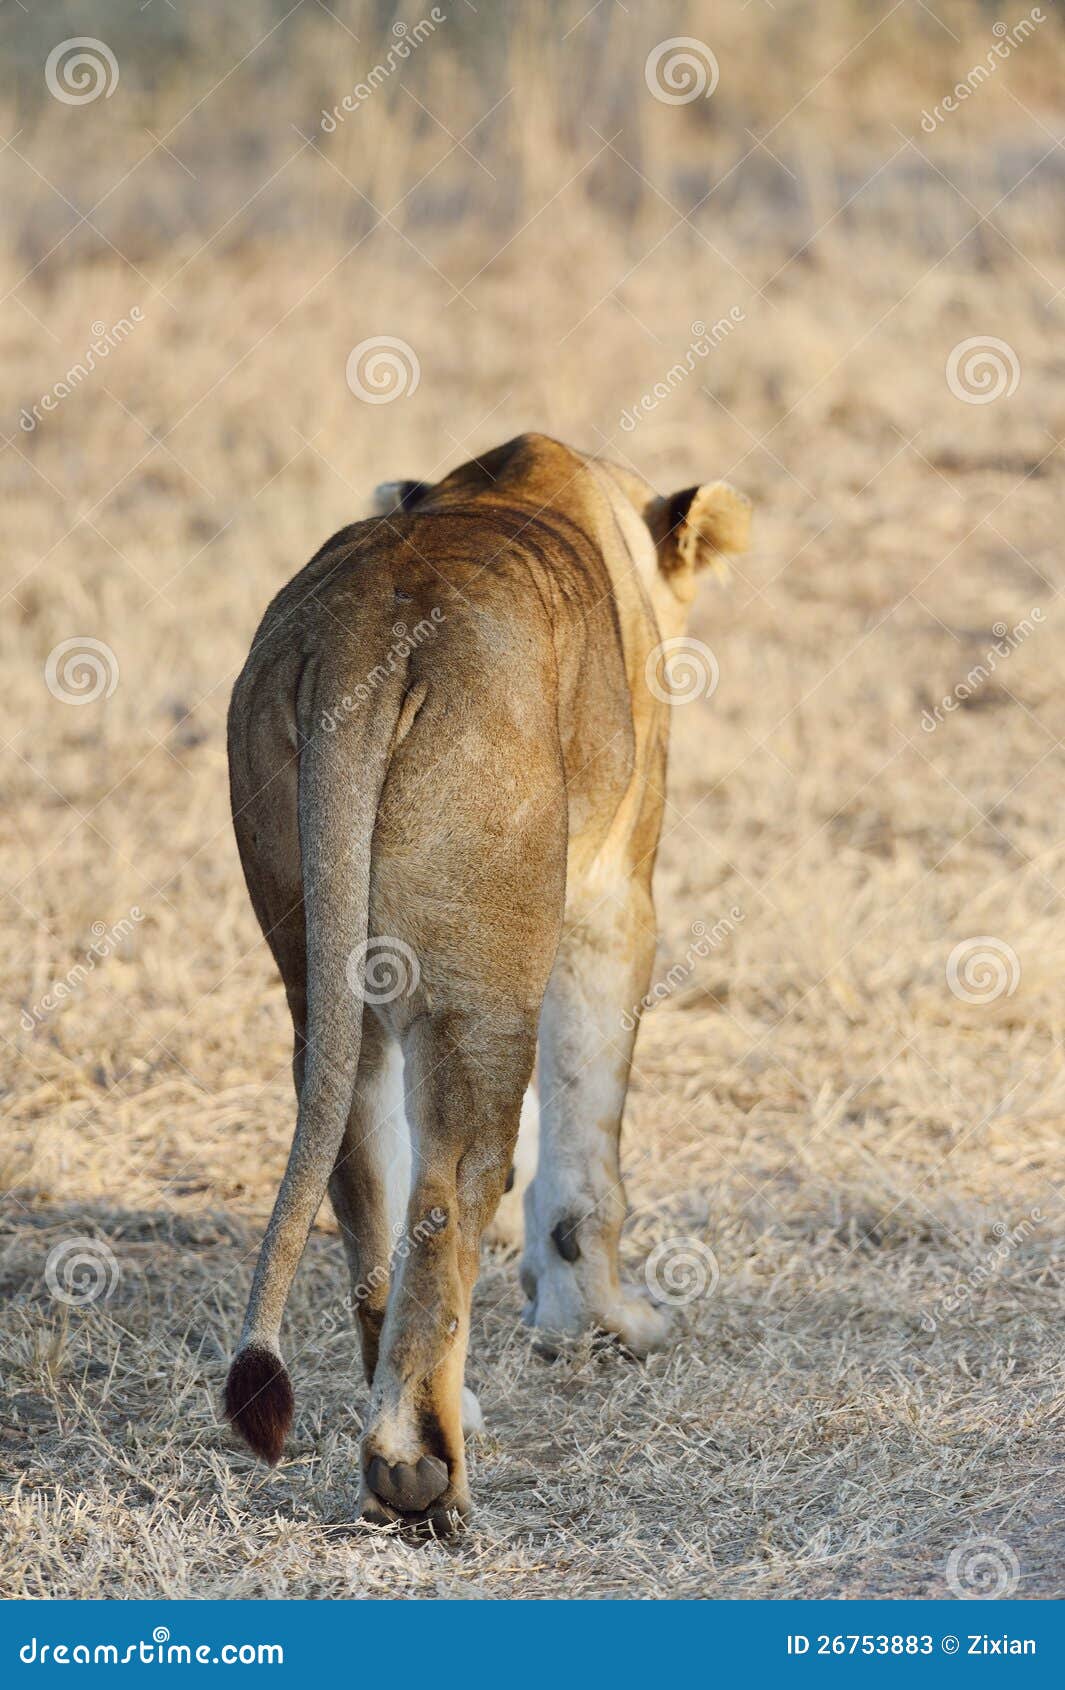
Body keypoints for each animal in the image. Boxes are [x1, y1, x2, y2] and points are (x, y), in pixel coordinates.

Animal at [224, 432, 750, 1530]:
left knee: (360, 1162)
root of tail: (361, 627)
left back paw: (437, 1408)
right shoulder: (612, 899)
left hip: (321, 957)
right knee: (450, 1184)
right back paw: (418, 1468)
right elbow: (584, 1157)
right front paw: (600, 1324)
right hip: (483, 973)